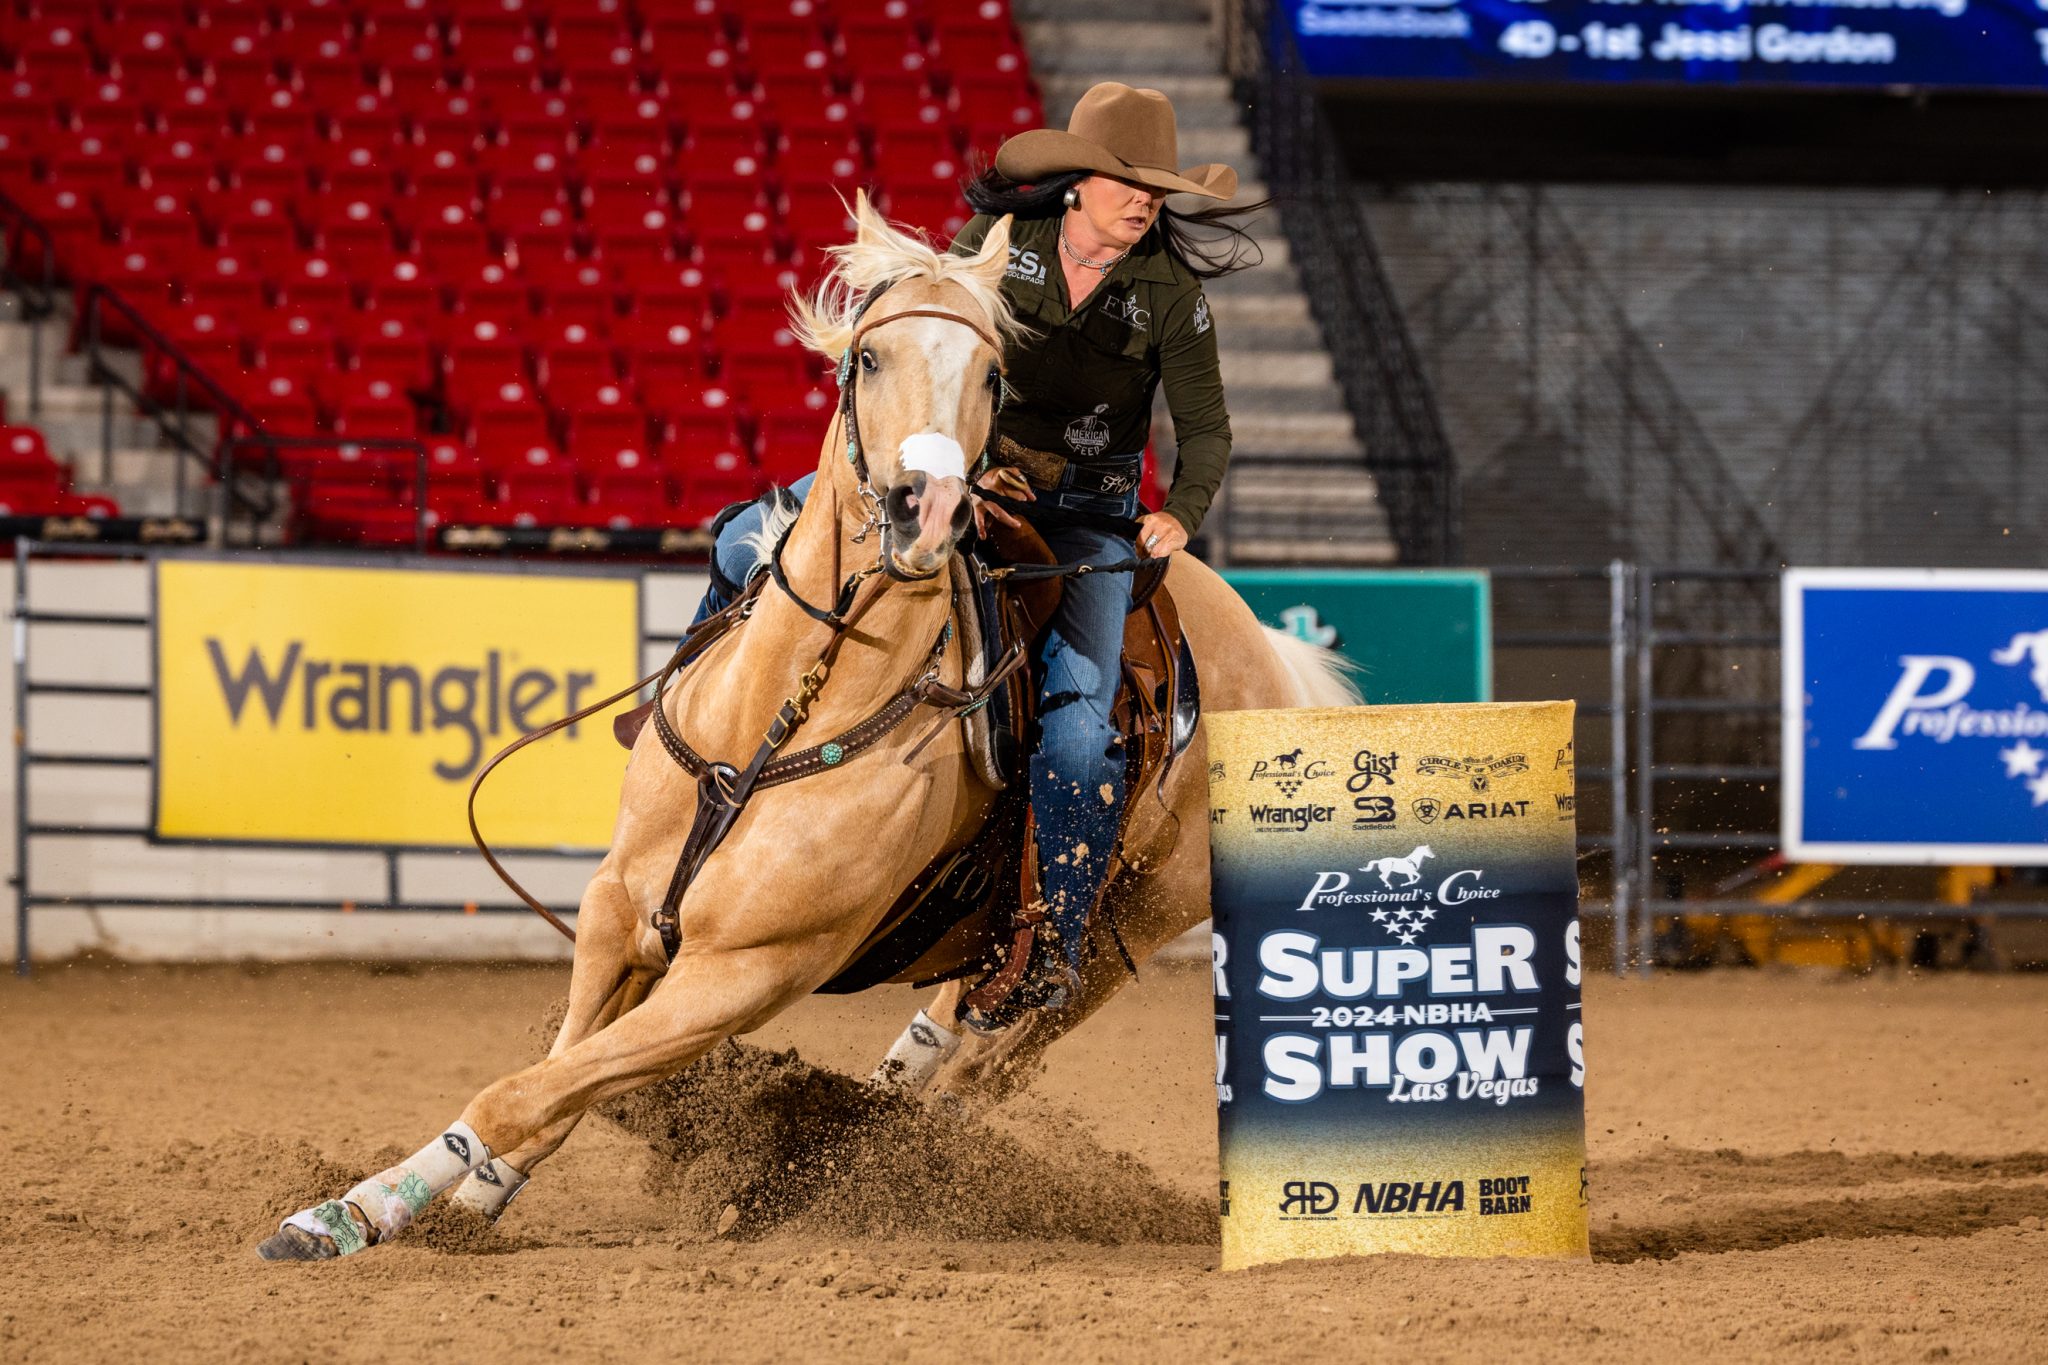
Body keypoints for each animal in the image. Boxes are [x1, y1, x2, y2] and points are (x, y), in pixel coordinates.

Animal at [257, 195, 1358, 1260]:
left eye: (992, 374)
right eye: (869, 357)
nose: (927, 508)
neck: (781, 718)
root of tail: (1267, 653)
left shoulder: (746, 973)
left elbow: (528, 1088)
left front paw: (356, 1215)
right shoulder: (619, 912)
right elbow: (559, 1074)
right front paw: (428, 1200)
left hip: (1123, 931)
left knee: (986, 1067)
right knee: (948, 1036)